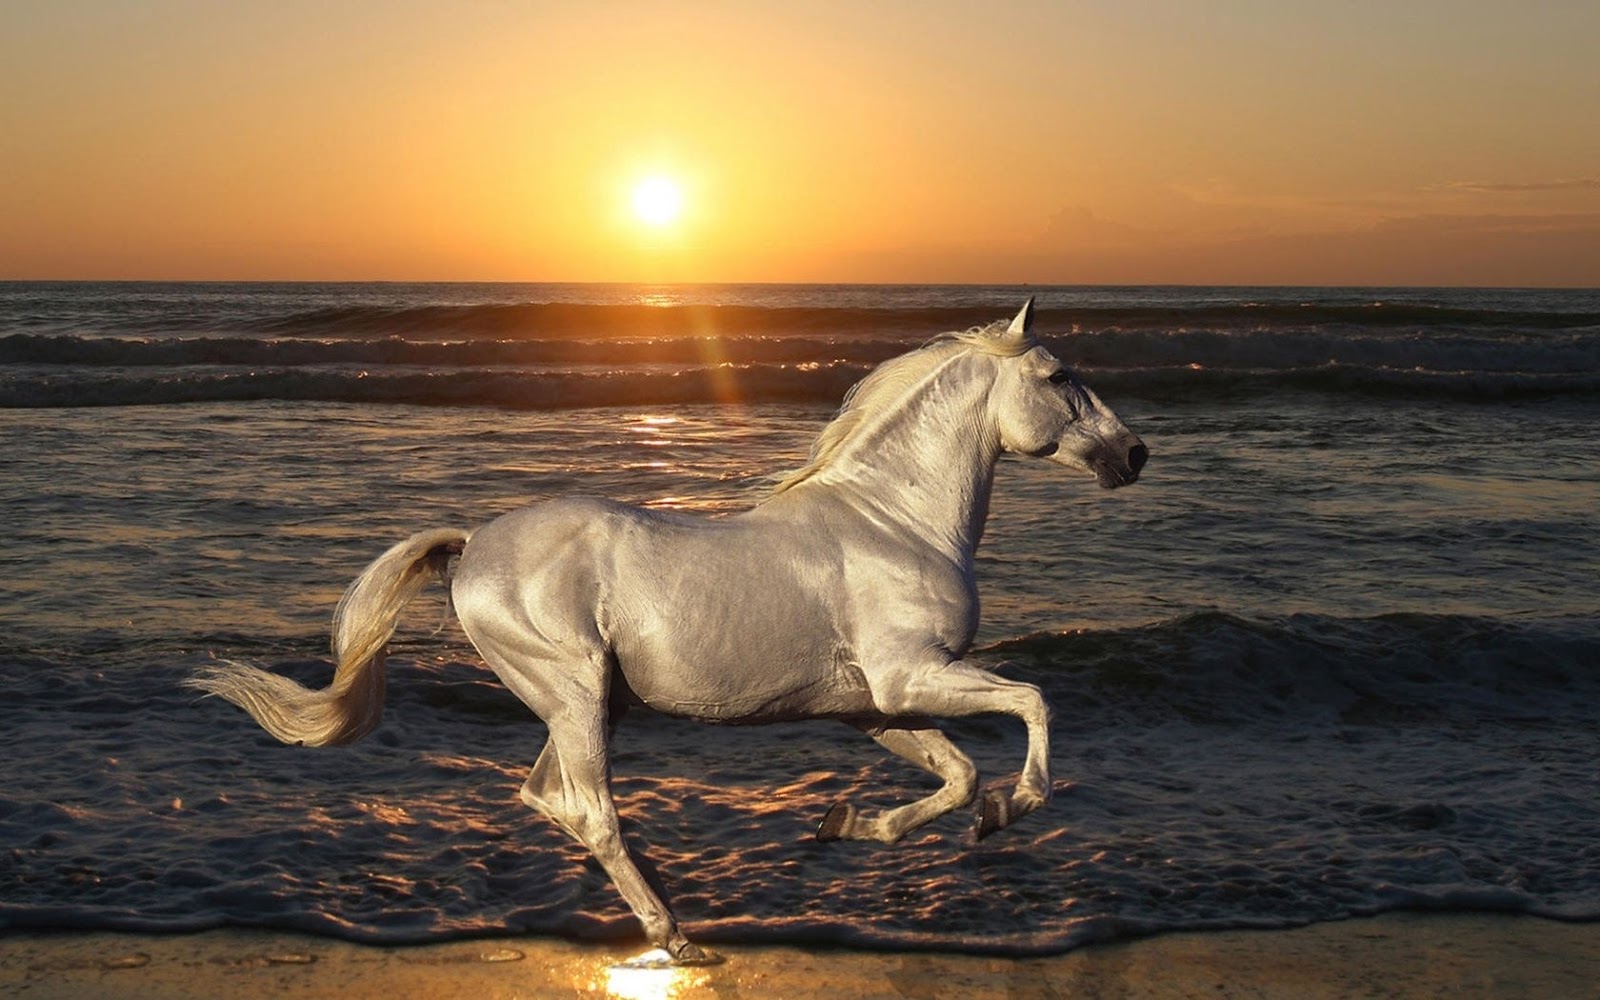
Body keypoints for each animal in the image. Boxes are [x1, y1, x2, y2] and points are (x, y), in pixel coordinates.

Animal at [187, 298, 1147, 964]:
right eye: (1060, 377)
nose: (1133, 455)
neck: (892, 522)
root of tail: (473, 546)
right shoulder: (911, 676)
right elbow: (1032, 705)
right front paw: (1011, 809)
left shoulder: (874, 706)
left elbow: (955, 777)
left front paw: (848, 825)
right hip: (574, 693)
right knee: (590, 810)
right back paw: (675, 932)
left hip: (588, 705)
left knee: (550, 799)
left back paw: (670, 906)